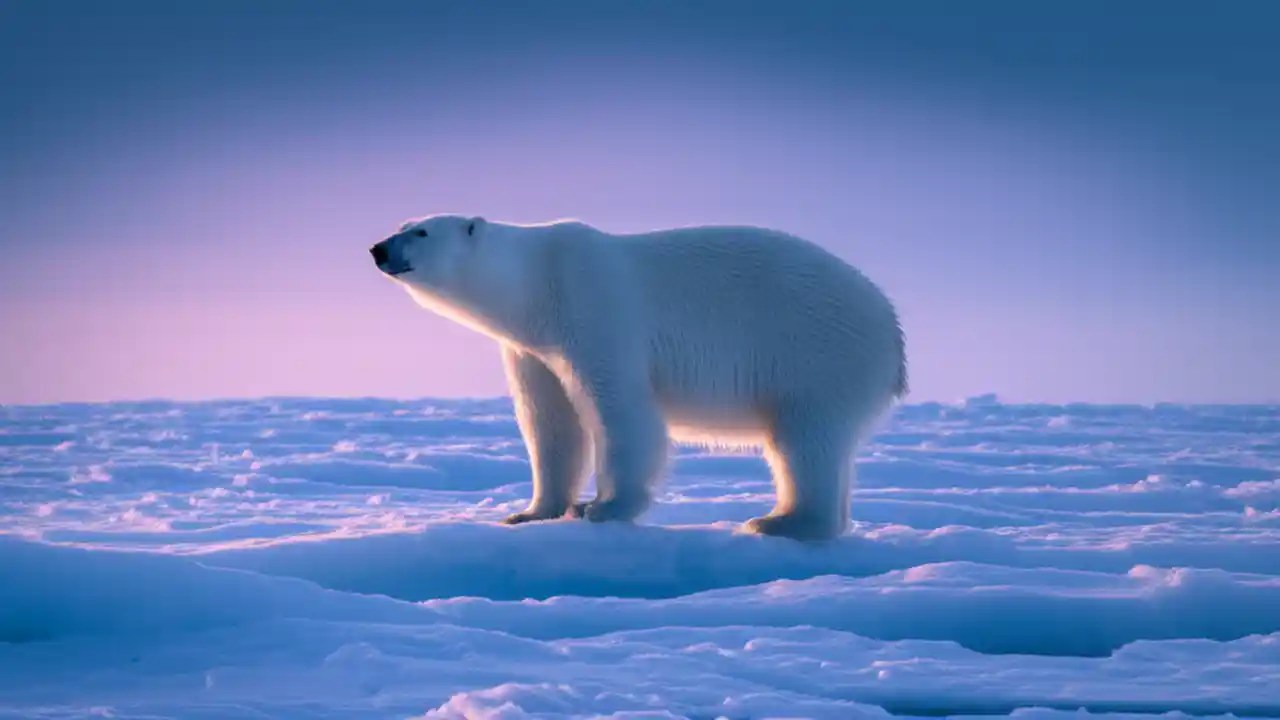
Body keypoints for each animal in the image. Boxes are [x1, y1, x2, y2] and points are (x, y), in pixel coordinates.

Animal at [370, 215, 906, 540]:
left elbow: (619, 408)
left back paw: (782, 521)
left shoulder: (595, 306)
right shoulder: (532, 348)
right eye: (401, 225)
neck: (537, 282)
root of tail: (893, 336)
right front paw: (532, 511)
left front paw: (603, 507)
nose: (378, 248)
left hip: (818, 356)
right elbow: (549, 422)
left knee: (804, 439)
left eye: (421, 232)